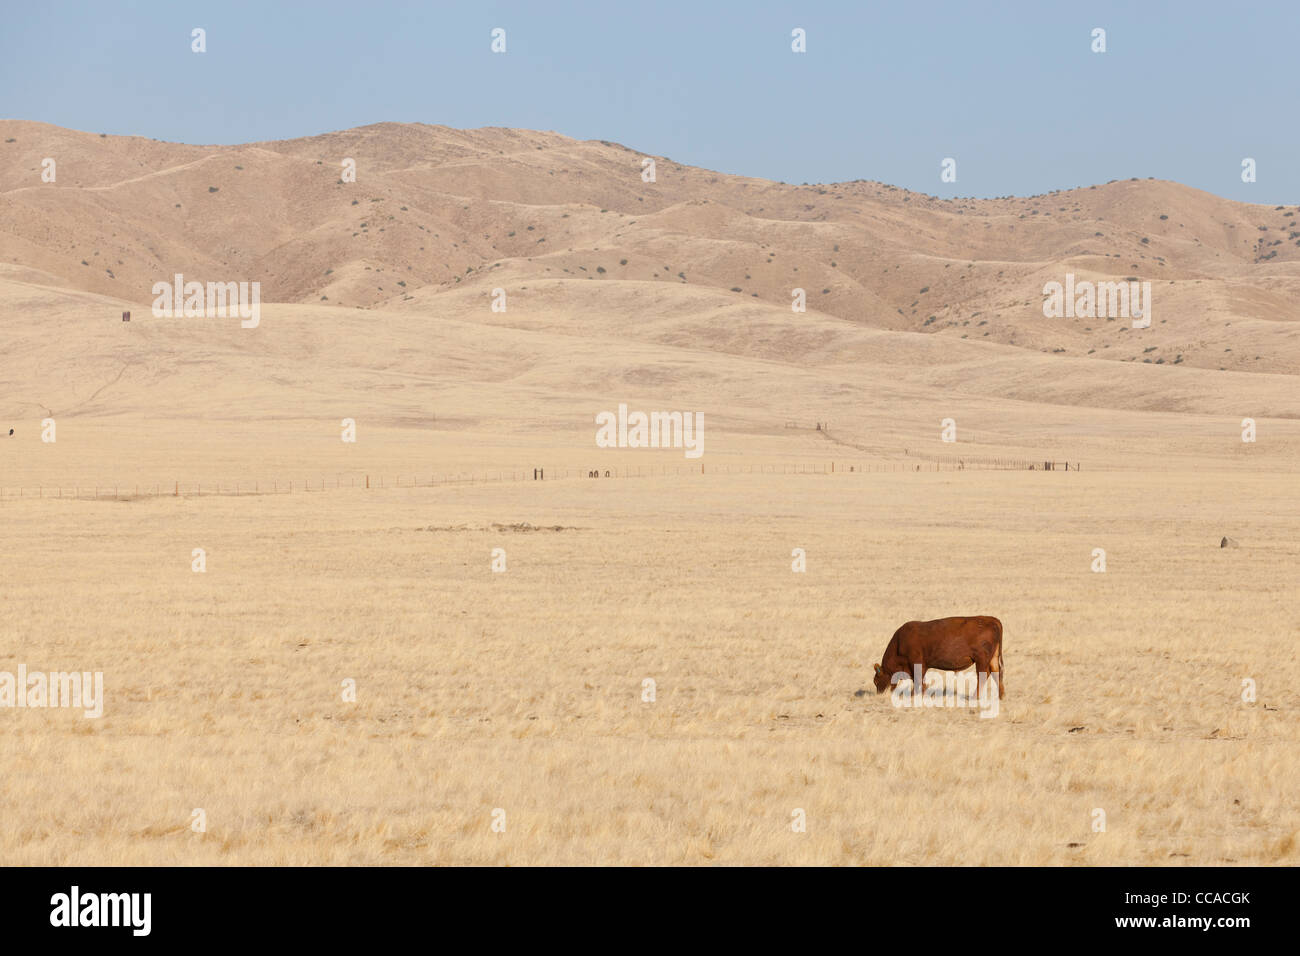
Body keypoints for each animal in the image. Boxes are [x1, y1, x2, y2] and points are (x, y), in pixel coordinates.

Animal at [873, 616, 1004, 698]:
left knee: (983, 675)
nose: (879, 694)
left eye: (876, 681)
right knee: (996, 672)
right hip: (992, 658)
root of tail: (992, 619)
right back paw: (1000, 696)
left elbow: (918, 680)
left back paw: (974, 697)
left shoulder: (916, 664)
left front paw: (914, 695)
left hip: (982, 660)